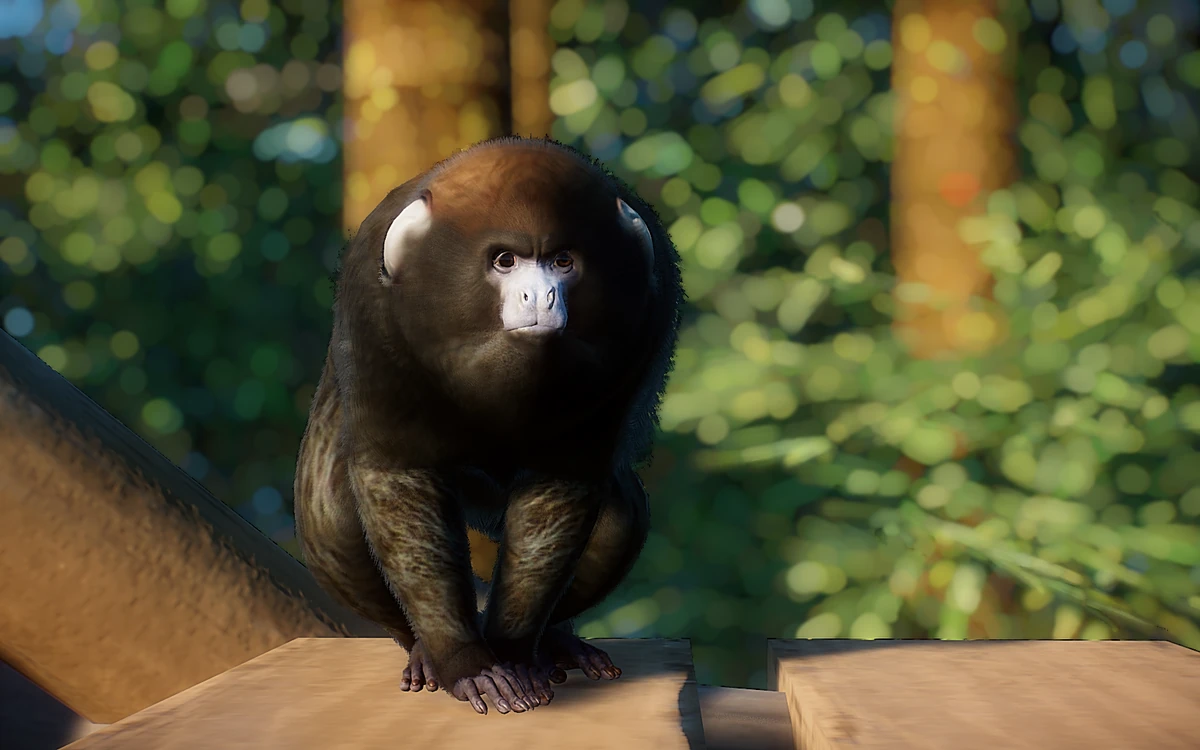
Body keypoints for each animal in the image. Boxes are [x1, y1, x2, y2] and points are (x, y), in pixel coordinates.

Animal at [293, 135, 683, 716]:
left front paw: (514, 654)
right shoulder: (372, 307)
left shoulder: (644, 319)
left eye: (562, 261)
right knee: (333, 520)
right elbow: (397, 478)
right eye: (505, 260)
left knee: (620, 520)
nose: (540, 297)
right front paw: (466, 662)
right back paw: (420, 650)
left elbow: (560, 485)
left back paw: (558, 642)